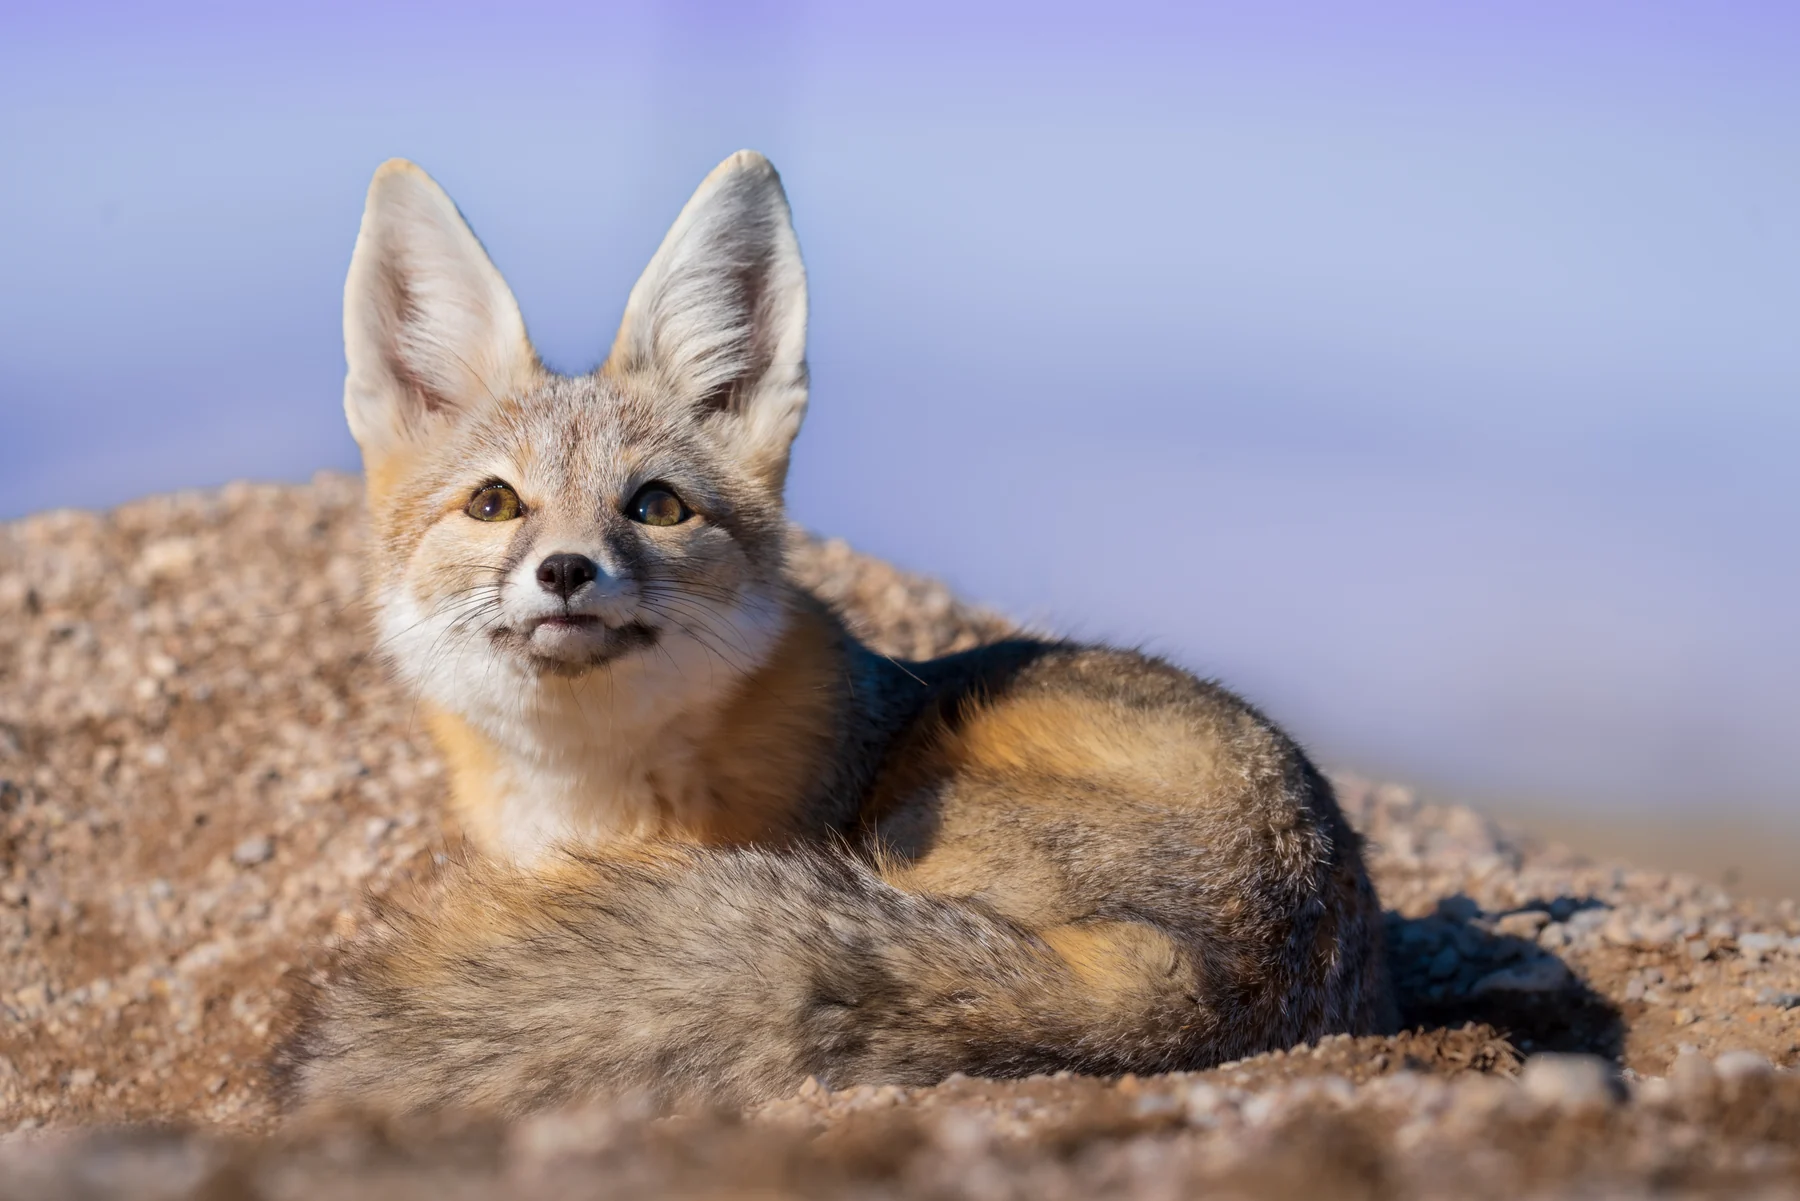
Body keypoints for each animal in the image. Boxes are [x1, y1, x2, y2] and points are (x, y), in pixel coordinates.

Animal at [274, 150, 1396, 1116]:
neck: (584, 799)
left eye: (657, 507)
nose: (566, 570)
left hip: (914, 817)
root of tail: (1220, 975)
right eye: (495, 503)